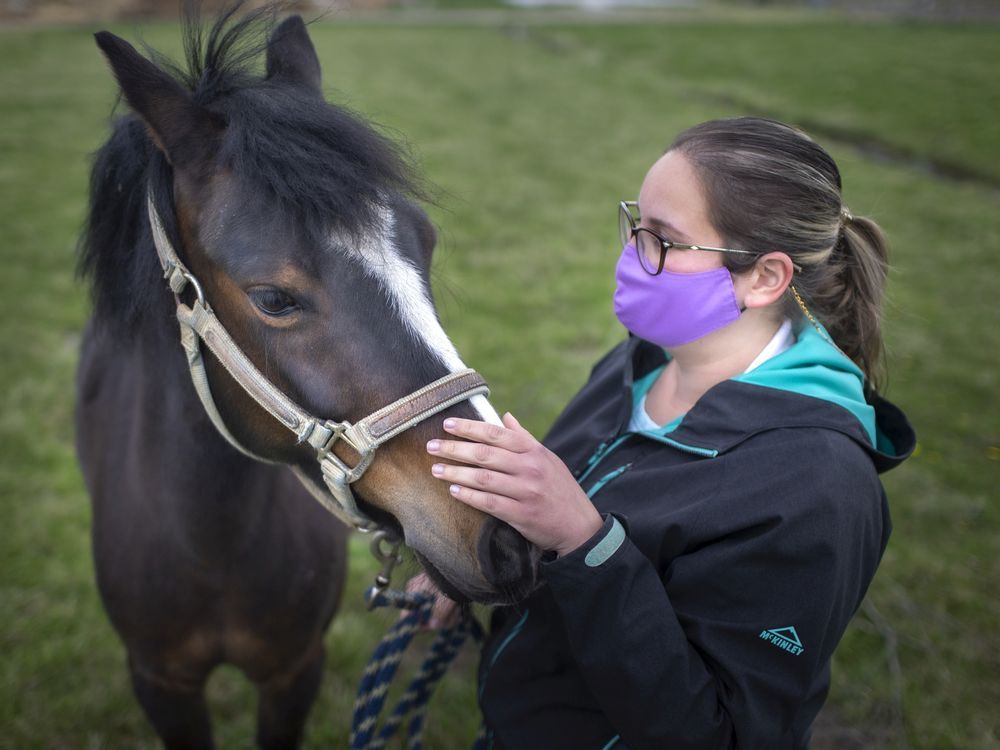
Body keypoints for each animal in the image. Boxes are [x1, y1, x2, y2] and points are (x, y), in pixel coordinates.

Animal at [75, 8, 538, 748]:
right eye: (273, 299)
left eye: (426, 241)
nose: (511, 536)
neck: (212, 544)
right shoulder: (161, 681)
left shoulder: (294, 668)